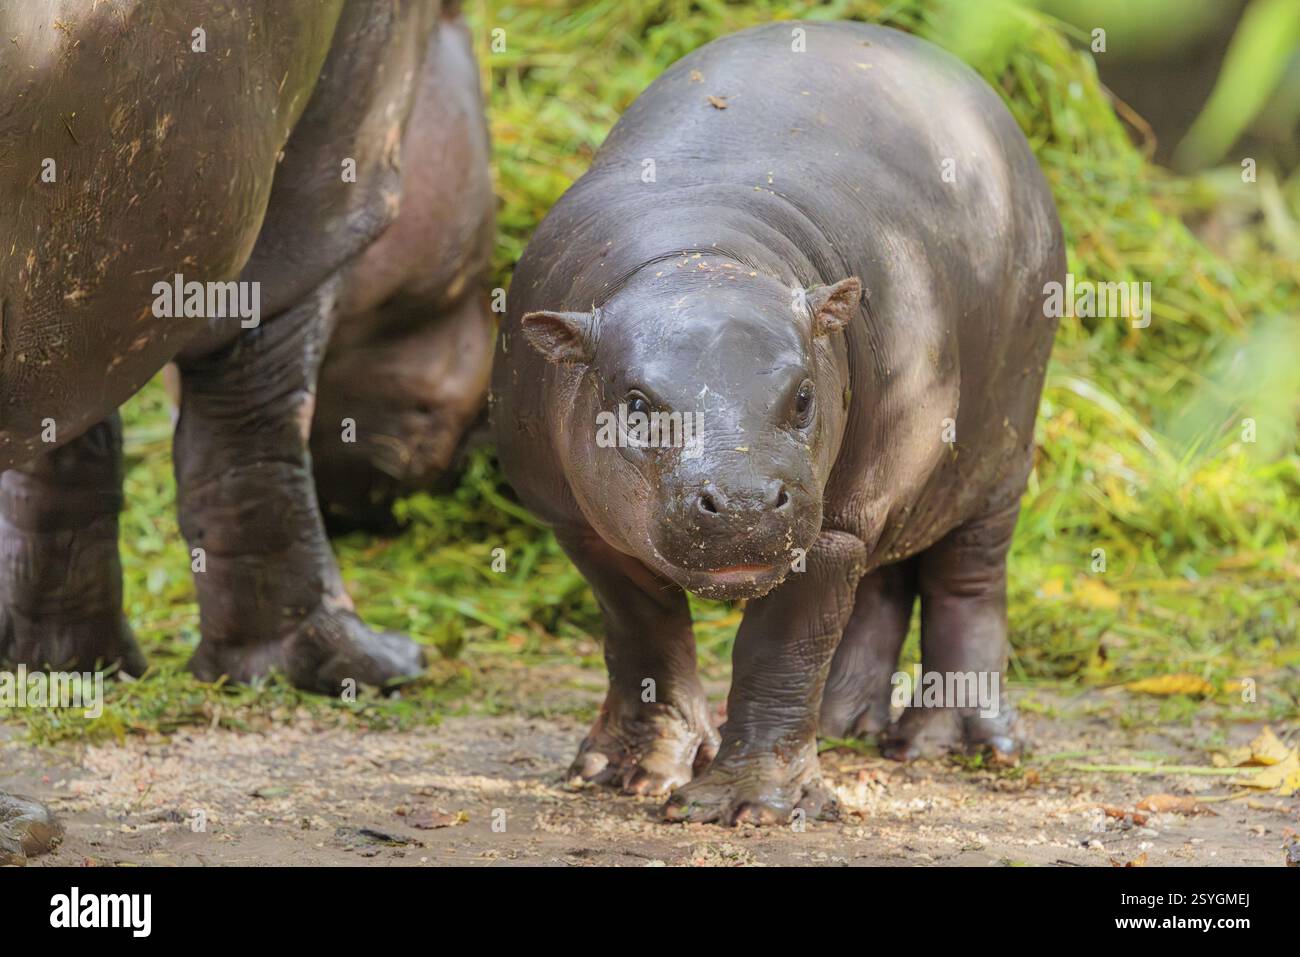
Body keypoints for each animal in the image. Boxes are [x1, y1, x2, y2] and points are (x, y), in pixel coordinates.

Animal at [0, 1, 491, 690]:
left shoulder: (79, 316)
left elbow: (63, 458)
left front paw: (67, 664)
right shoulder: (322, 196)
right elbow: (254, 431)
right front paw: (369, 662)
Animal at [493, 21, 1063, 824]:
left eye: (800, 396)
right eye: (635, 404)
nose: (743, 501)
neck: (698, 259)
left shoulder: (825, 533)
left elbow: (781, 651)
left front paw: (746, 803)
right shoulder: (577, 524)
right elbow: (644, 636)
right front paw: (629, 773)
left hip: (995, 455)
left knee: (969, 578)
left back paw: (951, 743)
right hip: (894, 466)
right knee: (883, 584)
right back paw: (845, 725)